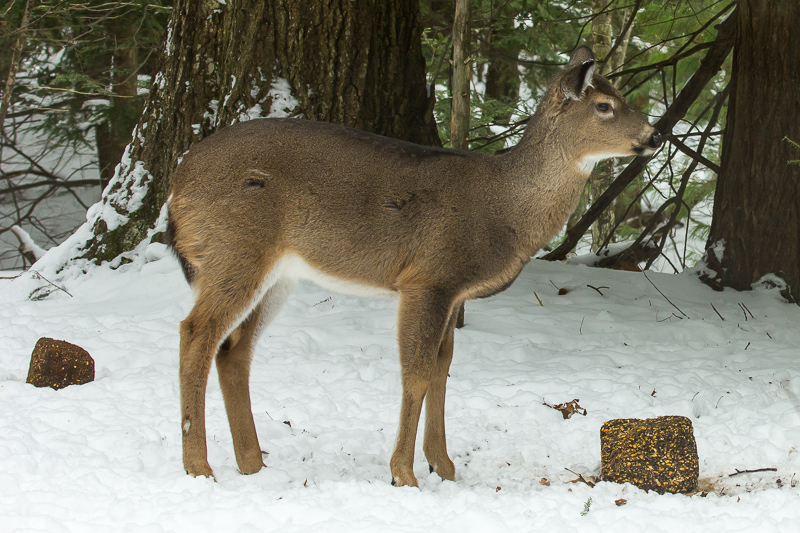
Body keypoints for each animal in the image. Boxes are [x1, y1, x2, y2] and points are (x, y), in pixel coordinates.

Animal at [166, 45, 662, 488]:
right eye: (604, 106)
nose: (655, 136)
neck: (504, 207)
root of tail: (177, 183)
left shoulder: (454, 291)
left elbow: (443, 368)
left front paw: (443, 466)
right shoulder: (428, 276)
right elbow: (417, 372)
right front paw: (403, 474)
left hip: (276, 272)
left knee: (234, 350)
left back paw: (252, 463)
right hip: (235, 247)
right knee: (196, 332)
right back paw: (199, 467)